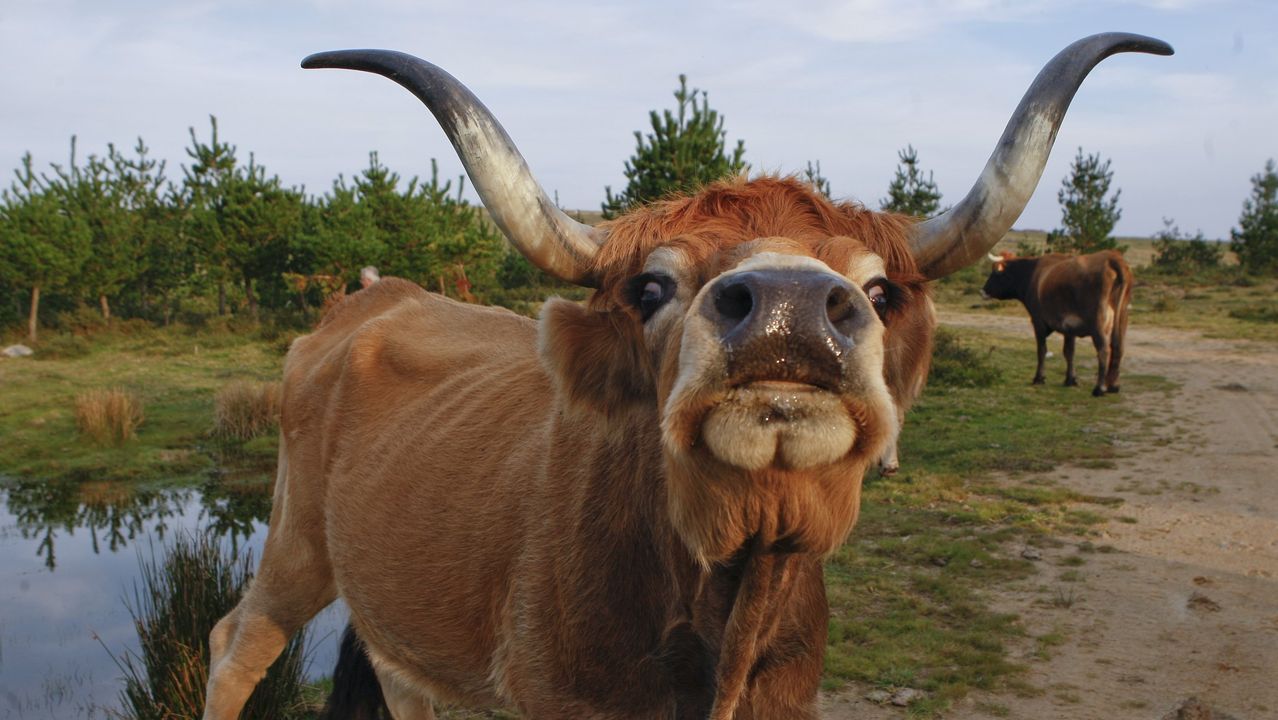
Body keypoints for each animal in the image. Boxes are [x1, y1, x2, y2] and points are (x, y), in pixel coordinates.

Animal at [981, 250, 1134, 396]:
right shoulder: (1069, 327)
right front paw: (1070, 379)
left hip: (1098, 323)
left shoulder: (1038, 321)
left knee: (1104, 350)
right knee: (1118, 348)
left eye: (995, 272)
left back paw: (1099, 388)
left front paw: (1039, 378)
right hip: (1122, 318)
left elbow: (1042, 350)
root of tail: (1112, 258)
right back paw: (1113, 386)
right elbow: (1069, 352)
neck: (1032, 273)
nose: (983, 290)